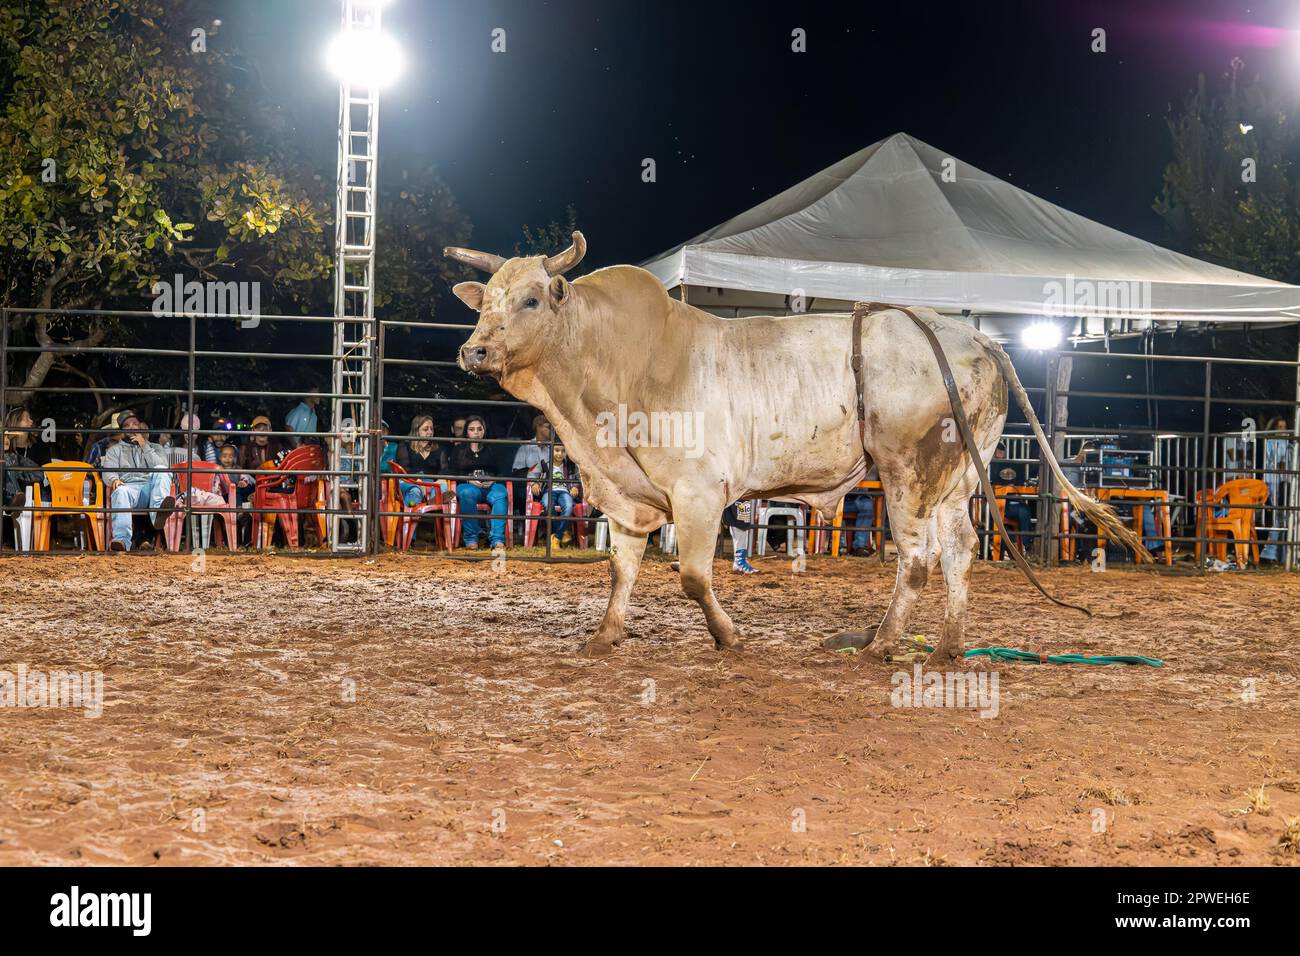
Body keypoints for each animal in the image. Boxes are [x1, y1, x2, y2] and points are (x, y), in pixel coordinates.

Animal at [444, 232, 1147, 662]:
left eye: (532, 298)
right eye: (486, 303)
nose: (473, 351)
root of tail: (967, 335)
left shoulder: (698, 494)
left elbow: (693, 576)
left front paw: (729, 637)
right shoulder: (627, 496)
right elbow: (623, 570)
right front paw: (605, 637)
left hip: (907, 471)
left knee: (917, 559)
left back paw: (880, 646)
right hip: (957, 478)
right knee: (958, 551)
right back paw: (947, 646)